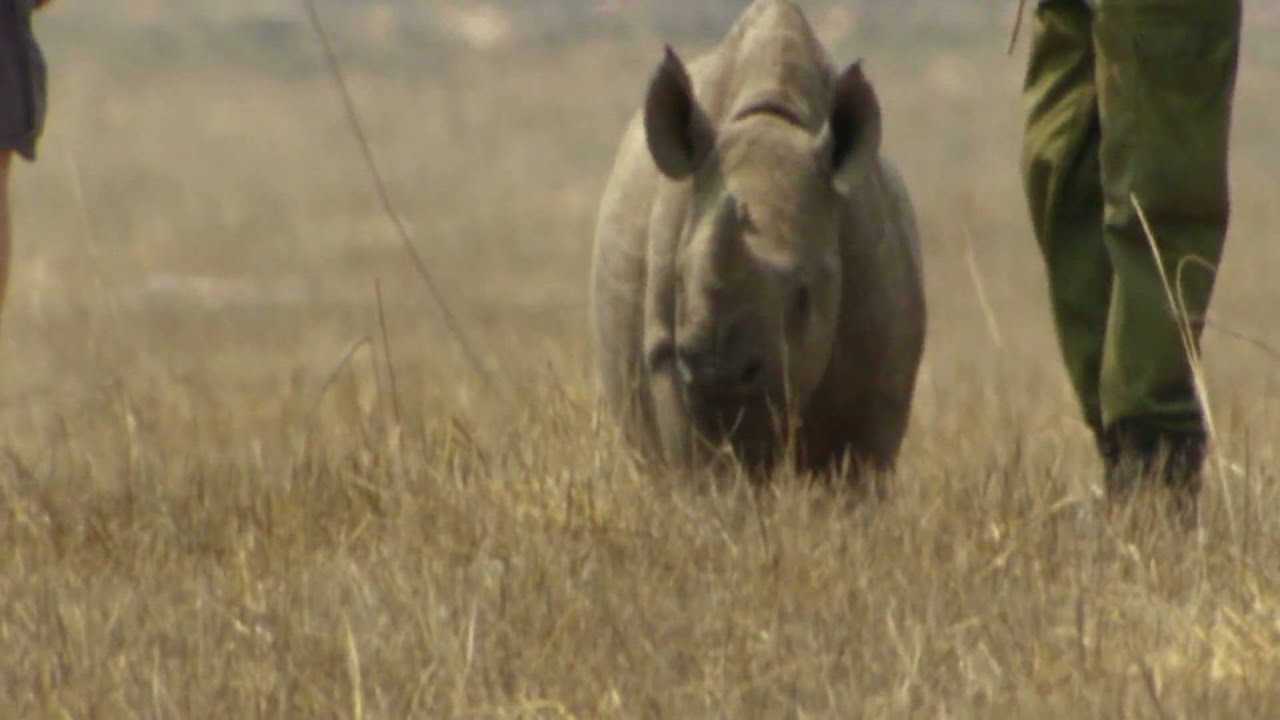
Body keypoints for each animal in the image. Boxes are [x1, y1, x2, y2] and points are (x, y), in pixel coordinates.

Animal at [589, 0, 926, 478]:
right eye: (677, 281)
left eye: (804, 296)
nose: (717, 371)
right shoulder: (669, 359)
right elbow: (702, 471)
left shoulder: (883, 371)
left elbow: (859, 472)